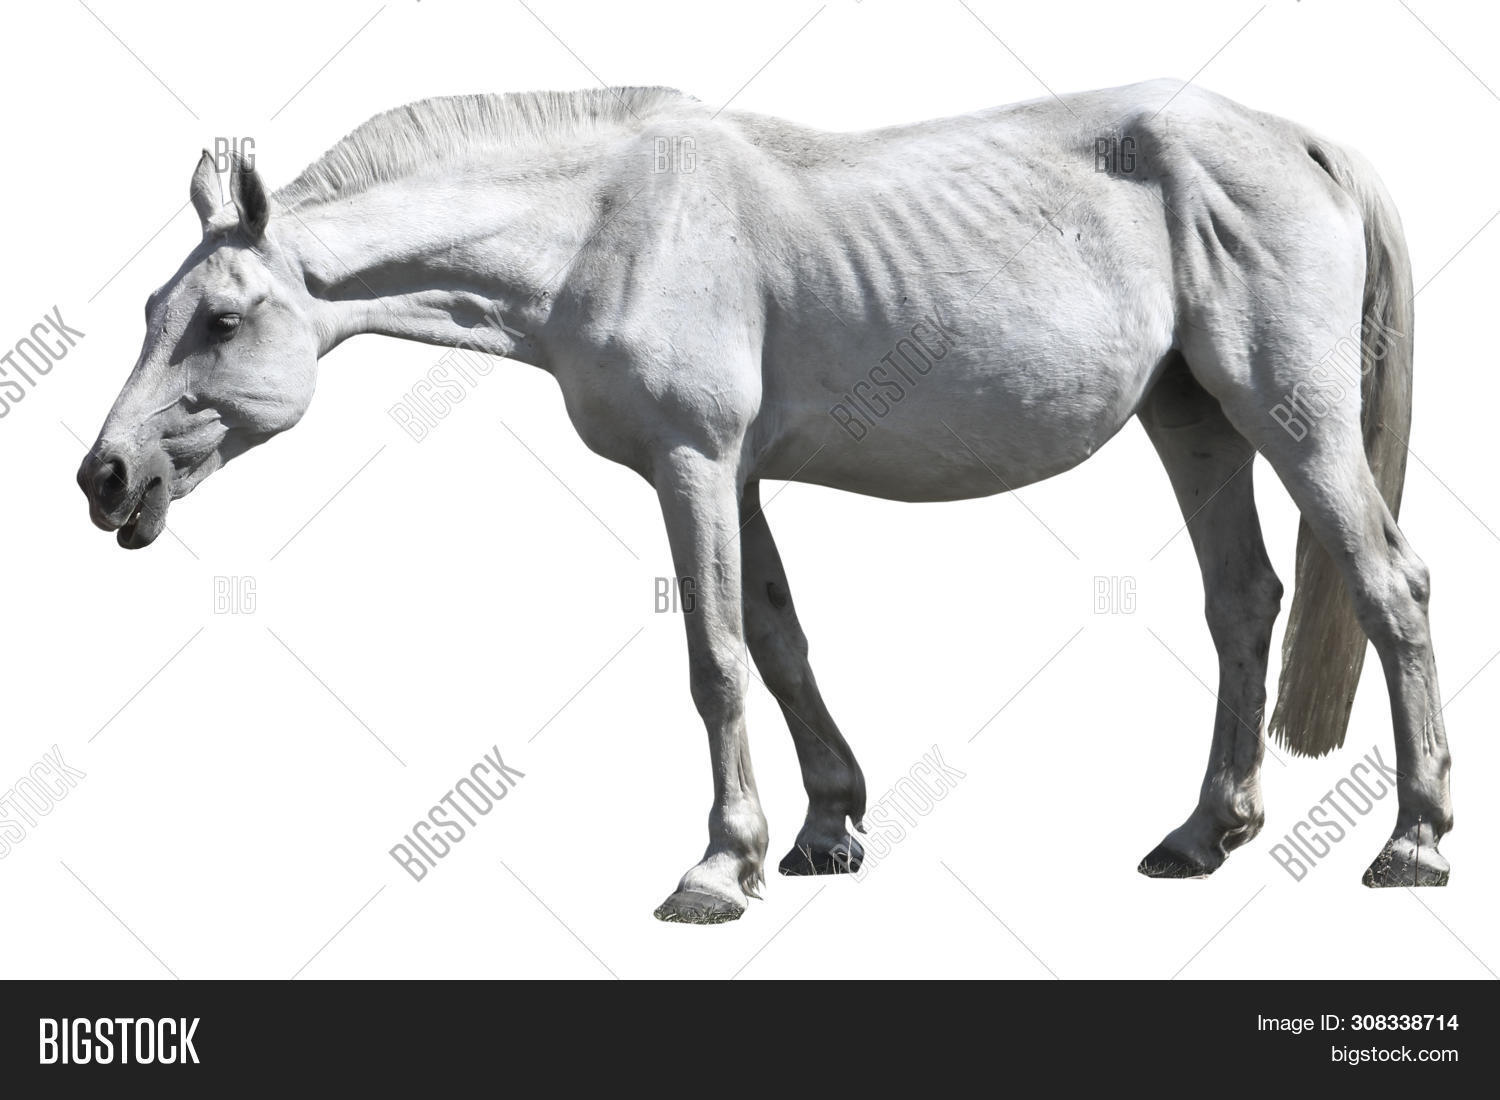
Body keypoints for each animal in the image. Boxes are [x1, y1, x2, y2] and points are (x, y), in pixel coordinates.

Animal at [77, 80, 1453, 923]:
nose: (105, 477)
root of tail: (1303, 140)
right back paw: (1204, 832)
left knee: (1389, 588)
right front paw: (826, 829)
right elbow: (782, 643)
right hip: (1195, 418)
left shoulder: (692, 463)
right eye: (151, 308)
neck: (605, 222)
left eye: (221, 318)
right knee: (1244, 602)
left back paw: (1414, 840)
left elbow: (716, 658)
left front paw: (718, 864)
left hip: (1289, 416)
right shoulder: (735, 475)